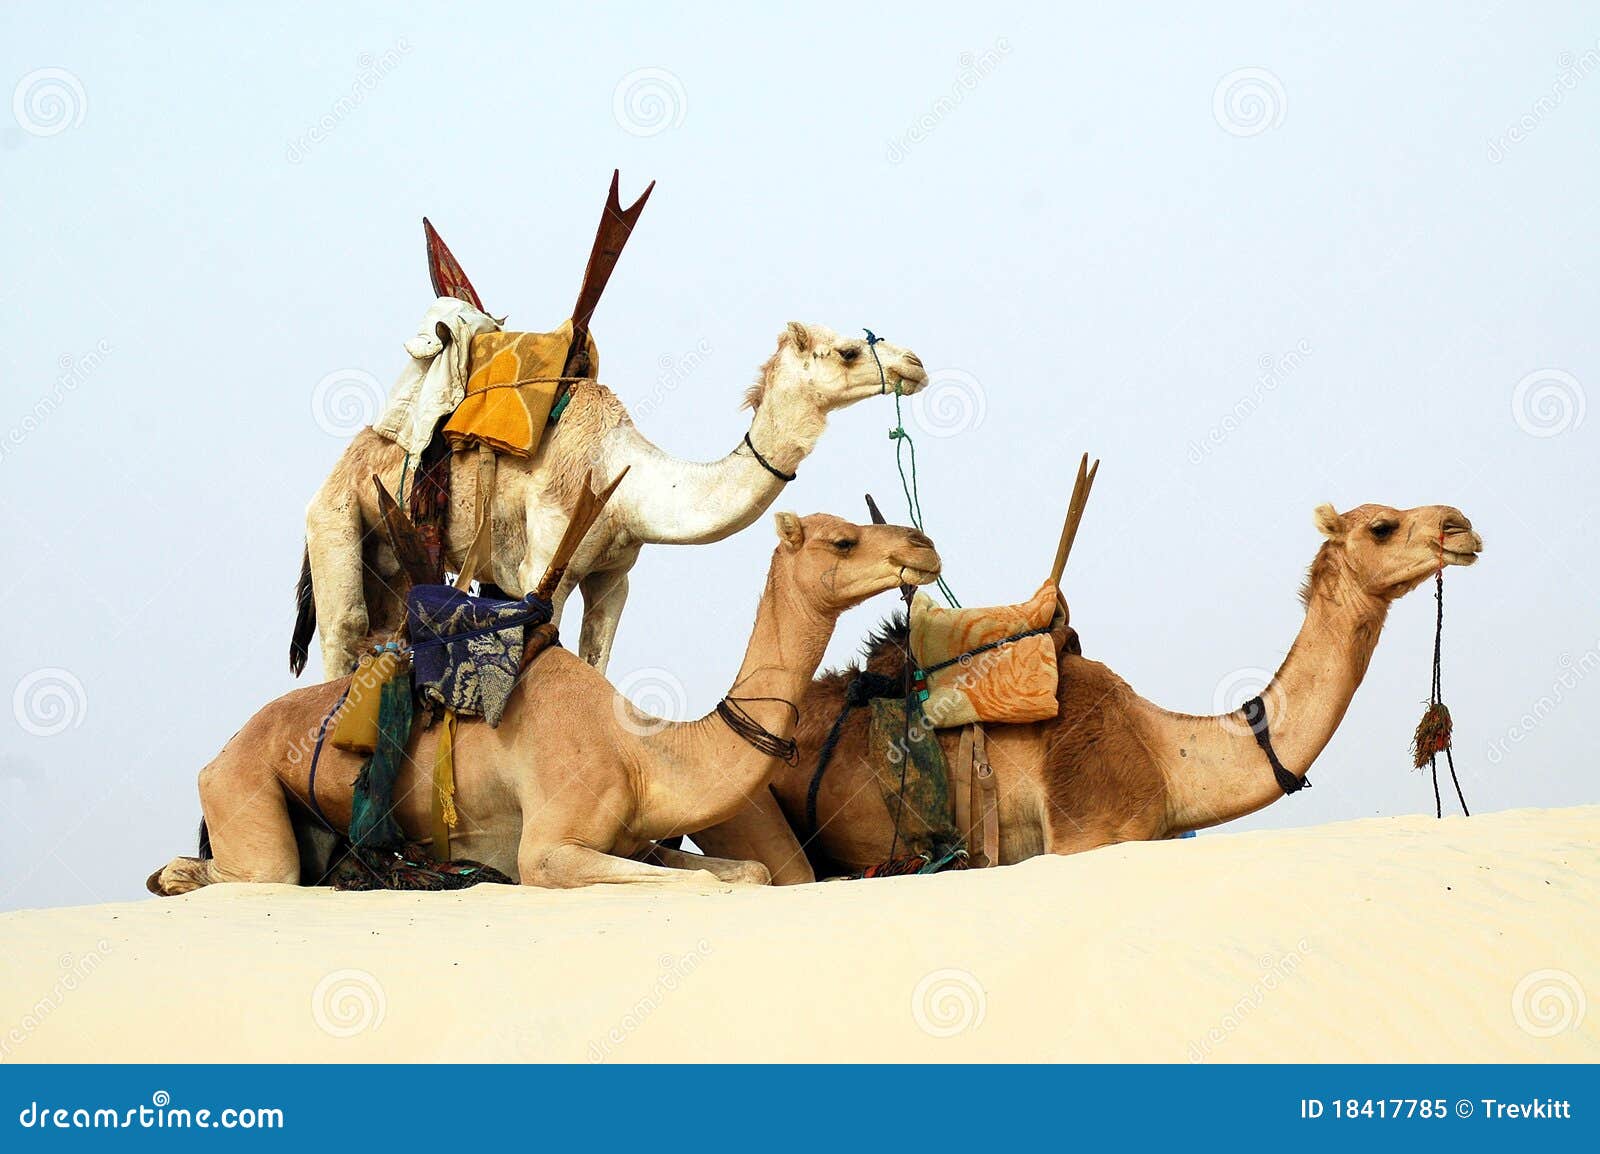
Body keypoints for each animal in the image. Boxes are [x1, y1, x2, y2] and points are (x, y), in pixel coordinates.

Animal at [151, 511, 941, 893]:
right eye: (842, 541)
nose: (923, 545)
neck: (646, 754)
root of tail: (217, 755)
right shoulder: (549, 848)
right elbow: (695, 887)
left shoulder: (636, 838)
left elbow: (744, 874)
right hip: (244, 784)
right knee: (253, 874)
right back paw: (174, 877)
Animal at [296, 322, 927, 679]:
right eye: (847, 351)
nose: (915, 364)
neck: (628, 482)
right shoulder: (542, 564)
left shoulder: (613, 576)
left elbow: (596, 663)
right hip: (334, 516)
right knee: (344, 631)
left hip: (395, 560)